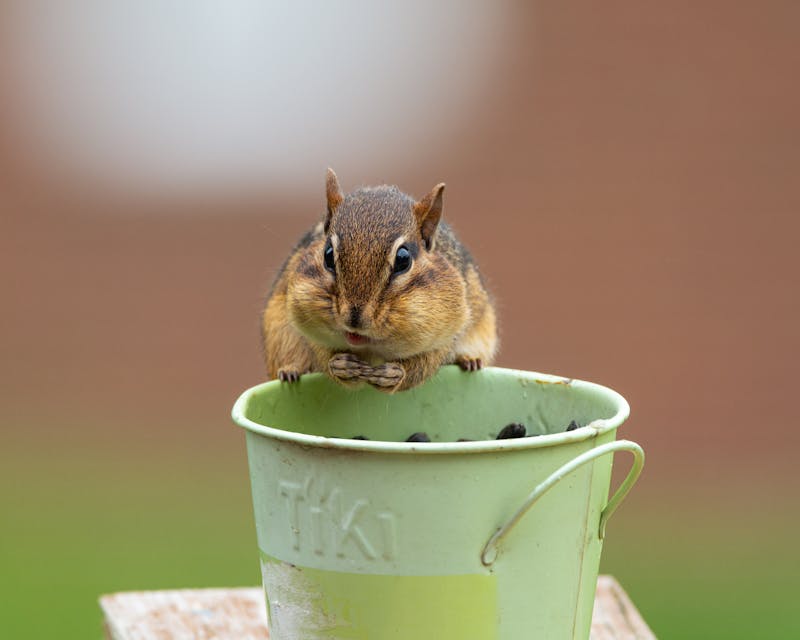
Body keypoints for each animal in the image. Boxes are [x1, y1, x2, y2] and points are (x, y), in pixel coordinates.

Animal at [261, 169, 498, 392]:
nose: (354, 320)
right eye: (328, 254)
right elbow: (321, 353)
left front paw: (394, 374)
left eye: (403, 260)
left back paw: (470, 360)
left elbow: (425, 364)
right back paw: (291, 370)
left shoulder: (448, 335)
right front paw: (340, 365)